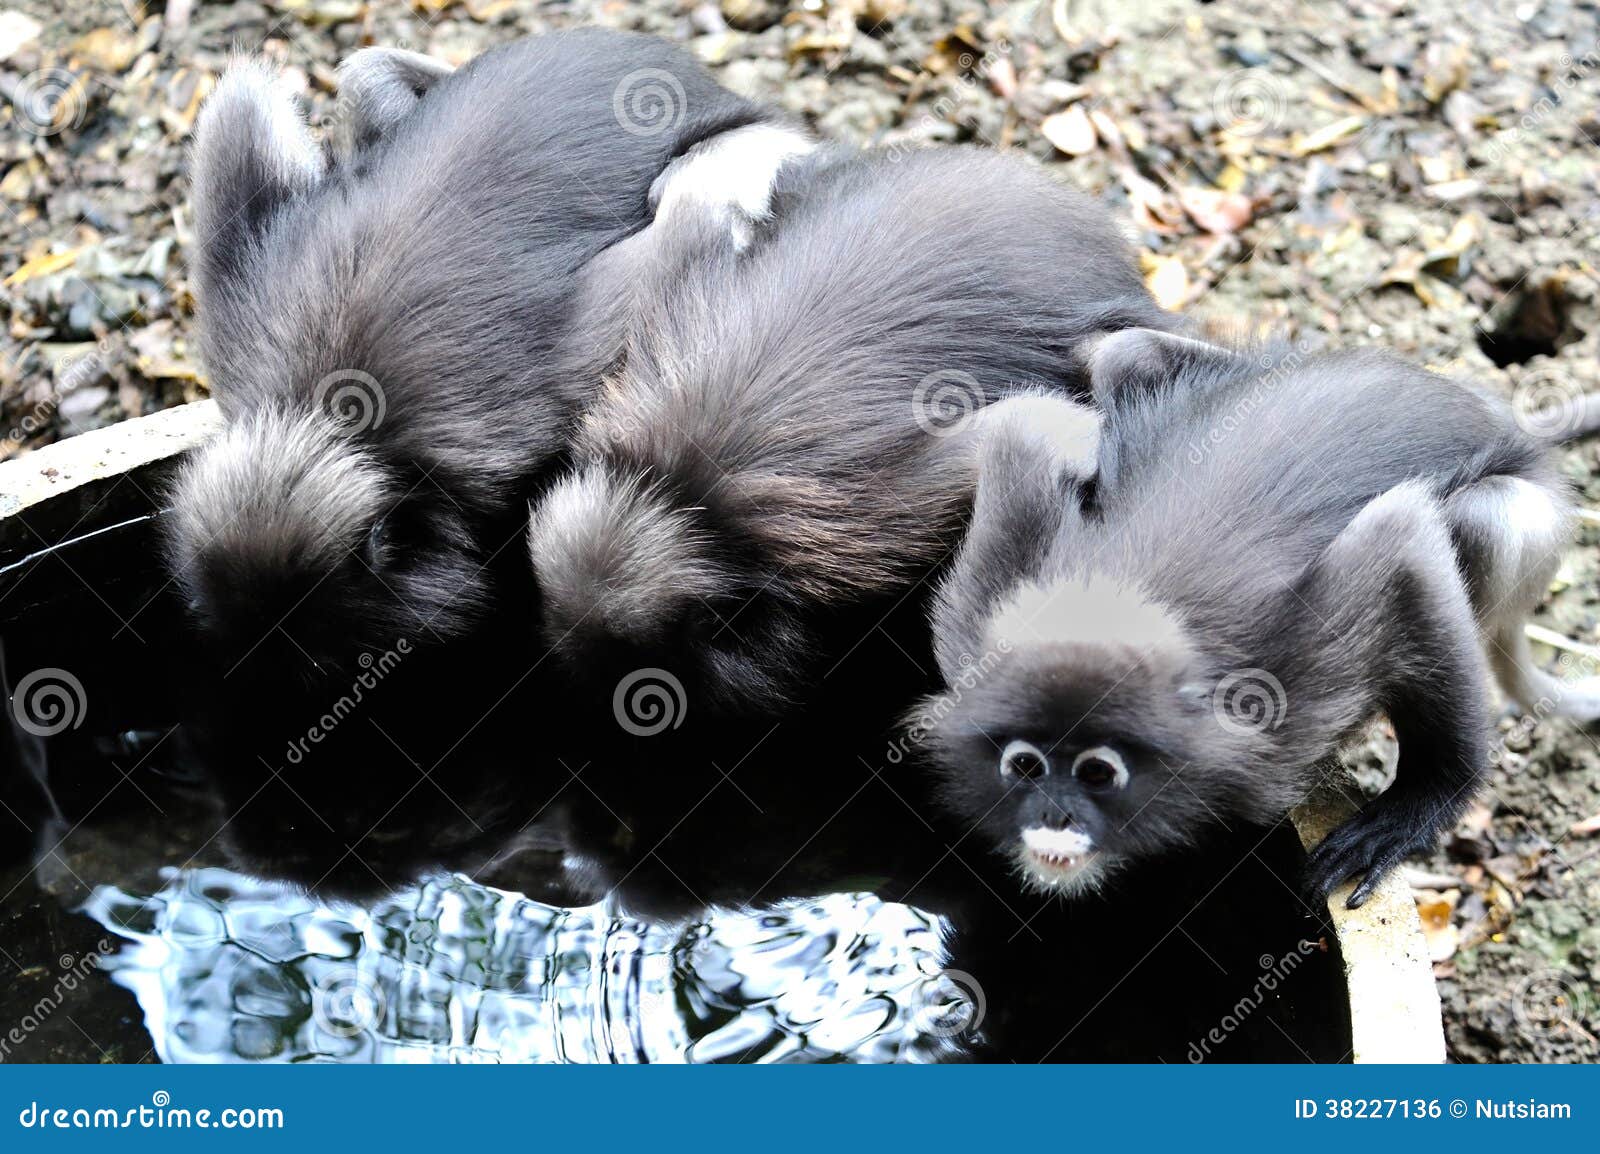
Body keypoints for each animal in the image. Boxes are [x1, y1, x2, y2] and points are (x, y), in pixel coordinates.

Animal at [913, 327, 1600, 909]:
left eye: (1098, 774)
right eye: (1025, 766)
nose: (1052, 819)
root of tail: (1507, 420)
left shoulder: (1283, 703)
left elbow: (1401, 535)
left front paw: (1417, 807)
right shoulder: (978, 627)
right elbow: (1026, 428)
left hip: (1524, 521)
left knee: (1481, 517)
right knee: (1123, 352)